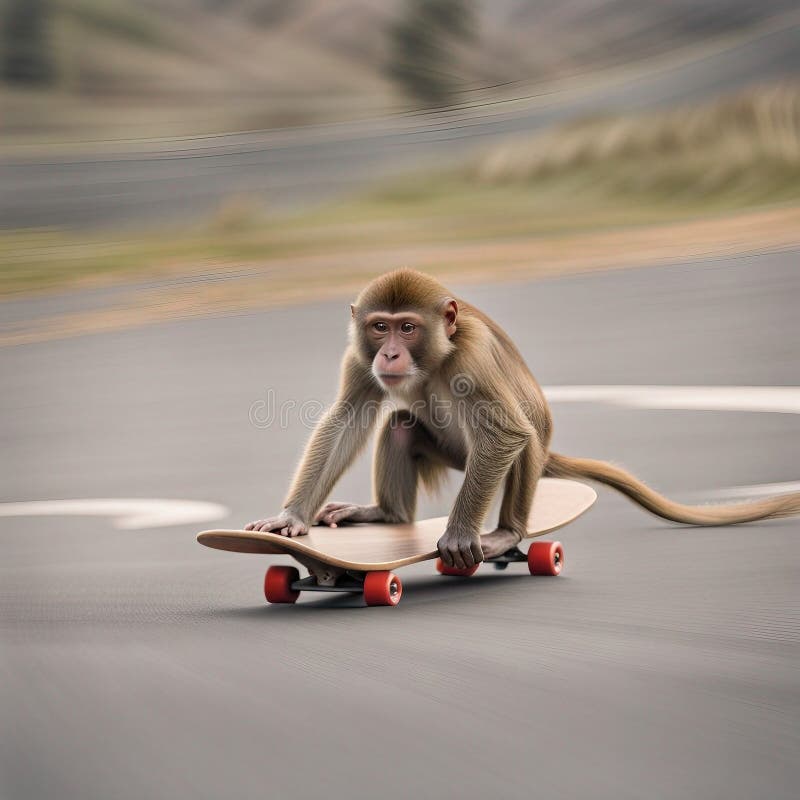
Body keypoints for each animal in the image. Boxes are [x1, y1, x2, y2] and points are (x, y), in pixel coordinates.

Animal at [246, 268, 800, 570]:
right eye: (379, 327)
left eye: (408, 327)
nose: (391, 355)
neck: (438, 352)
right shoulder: (358, 356)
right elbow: (347, 417)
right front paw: (290, 518)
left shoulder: (470, 356)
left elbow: (505, 432)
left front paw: (459, 536)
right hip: (450, 455)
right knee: (402, 425)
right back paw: (387, 515)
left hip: (504, 456)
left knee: (525, 437)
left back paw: (507, 533)